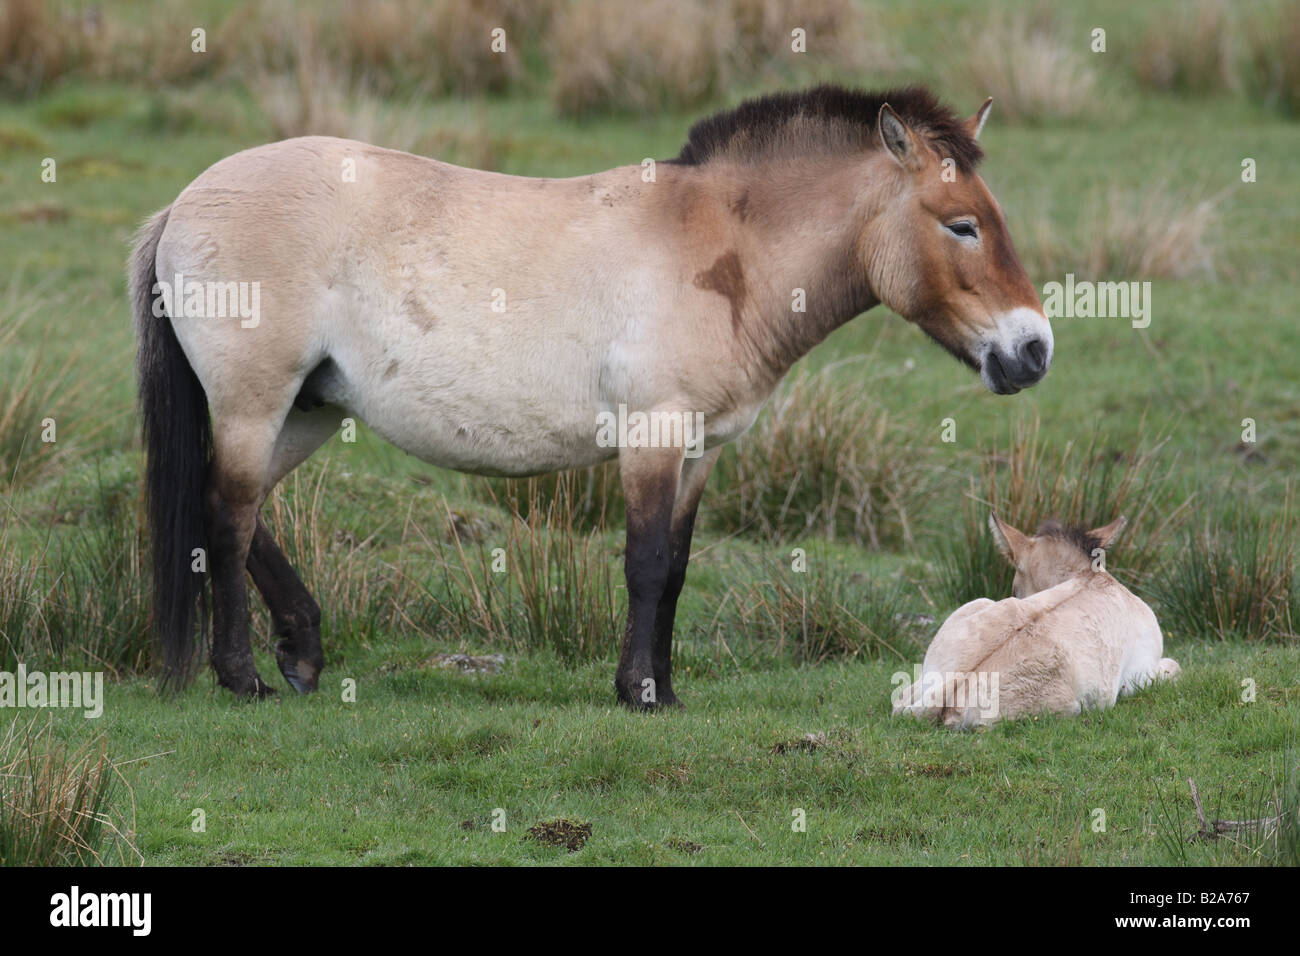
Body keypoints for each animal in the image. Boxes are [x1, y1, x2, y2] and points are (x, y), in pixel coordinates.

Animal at [129, 84, 1053, 708]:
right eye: (962, 224)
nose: (1034, 350)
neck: (724, 252)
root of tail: (182, 203)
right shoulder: (651, 434)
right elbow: (644, 563)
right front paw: (638, 691)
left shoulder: (702, 448)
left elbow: (675, 568)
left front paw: (666, 691)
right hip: (256, 402)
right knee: (227, 513)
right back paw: (244, 676)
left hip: (308, 410)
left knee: (238, 509)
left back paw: (303, 653)